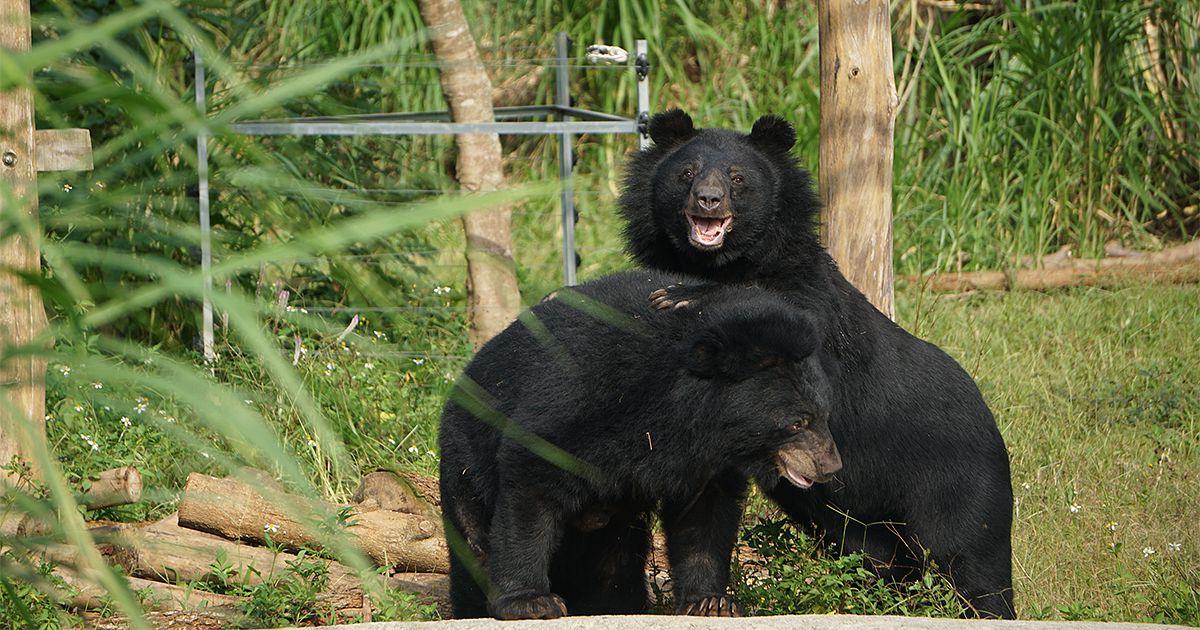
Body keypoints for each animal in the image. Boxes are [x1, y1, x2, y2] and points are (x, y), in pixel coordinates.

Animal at [438, 270, 843, 620]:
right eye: (797, 422)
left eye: (825, 413)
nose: (829, 466)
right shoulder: (577, 399)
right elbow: (532, 479)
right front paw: (531, 603)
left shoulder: (704, 459)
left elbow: (704, 514)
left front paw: (710, 602)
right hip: (466, 462)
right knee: (472, 540)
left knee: (613, 570)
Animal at [617, 109, 1015, 619]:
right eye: (687, 174)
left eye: (737, 178)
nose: (708, 200)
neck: (720, 264)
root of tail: (992, 425)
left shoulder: (808, 303)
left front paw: (679, 297)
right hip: (859, 524)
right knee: (881, 560)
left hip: (956, 483)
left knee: (972, 560)